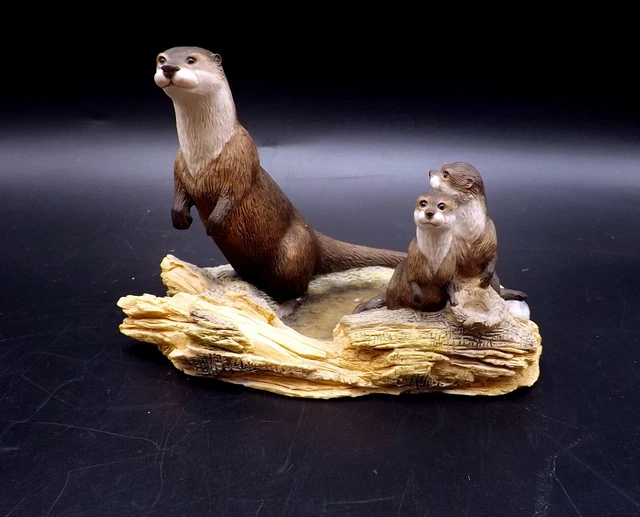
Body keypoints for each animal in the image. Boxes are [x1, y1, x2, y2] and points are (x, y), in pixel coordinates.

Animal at [153, 46, 407, 312]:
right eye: (161, 59)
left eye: (191, 59)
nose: (169, 68)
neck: (202, 156)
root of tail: (314, 240)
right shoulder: (180, 167)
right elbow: (180, 193)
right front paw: (179, 217)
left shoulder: (241, 161)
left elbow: (232, 196)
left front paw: (213, 224)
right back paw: (229, 275)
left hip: (291, 255)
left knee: (301, 290)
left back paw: (284, 307)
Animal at [428, 161, 527, 301]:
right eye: (442, 166)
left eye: (445, 174)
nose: (430, 172)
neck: (469, 233)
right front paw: (454, 288)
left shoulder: (491, 234)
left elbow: (493, 256)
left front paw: (487, 274)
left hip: (496, 280)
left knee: (499, 291)